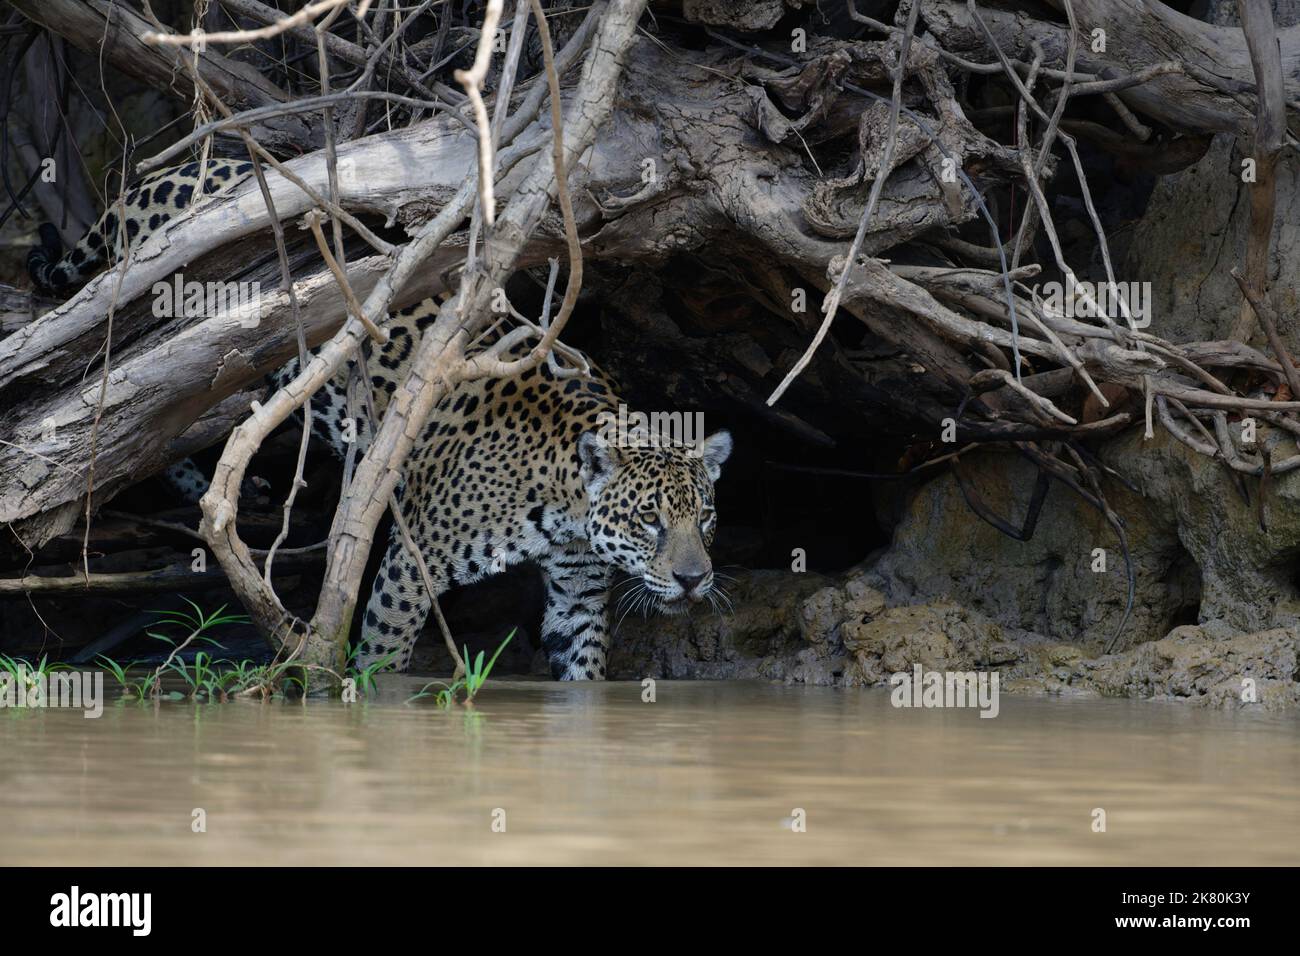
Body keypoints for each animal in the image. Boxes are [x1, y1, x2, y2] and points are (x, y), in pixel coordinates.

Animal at [28, 157, 733, 680]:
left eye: (704, 516)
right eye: (648, 520)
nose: (694, 580)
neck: (565, 507)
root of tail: (164, 175)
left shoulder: (579, 595)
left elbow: (582, 680)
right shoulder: (412, 560)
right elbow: (382, 655)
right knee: (141, 418)